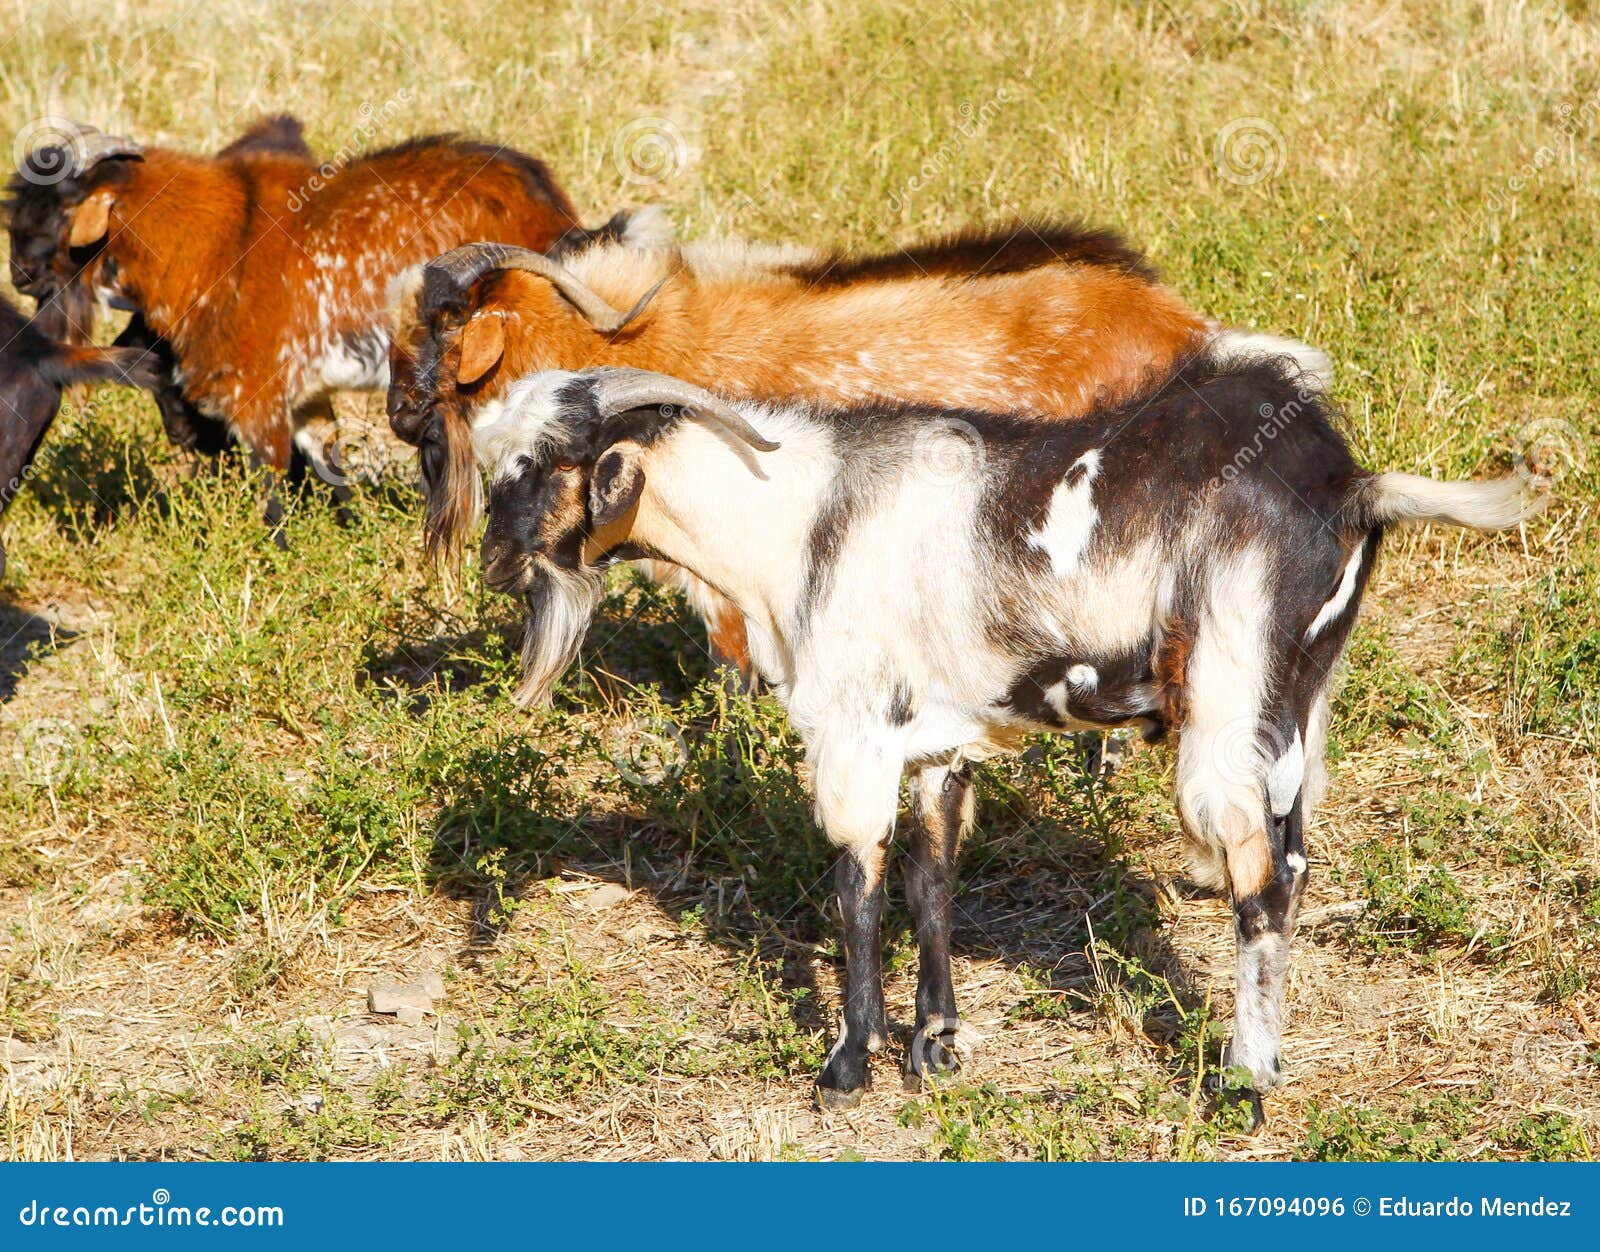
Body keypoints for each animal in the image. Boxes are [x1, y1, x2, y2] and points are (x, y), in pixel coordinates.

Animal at [6, 121, 592, 489]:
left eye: (60, 209)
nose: (18, 274)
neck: (221, 236)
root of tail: (552, 213)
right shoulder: (305, 389)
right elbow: (327, 464)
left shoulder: (257, 389)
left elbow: (272, 491)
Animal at [469, 360, 1545, 1125]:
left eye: (537, 467)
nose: (489, 562)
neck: (803, 518)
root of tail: (1354, 486)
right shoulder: (939, 740)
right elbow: (930, 880)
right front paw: (935, 1043)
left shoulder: (854, 734)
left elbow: (855, 888)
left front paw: (848, 1064)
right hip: (1298, 715)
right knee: (1296, 860)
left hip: (1228, 703)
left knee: (1259, 878)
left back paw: (1243, 1081)